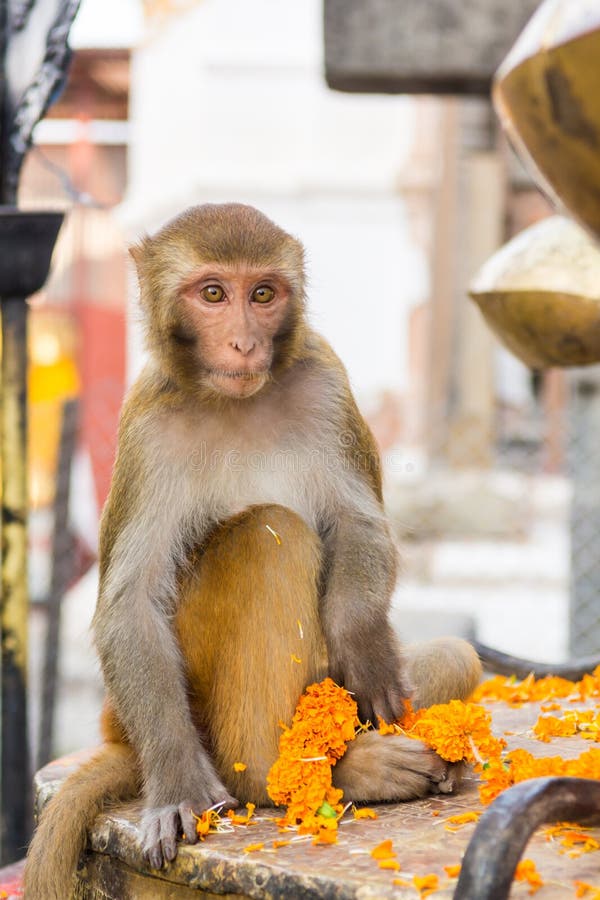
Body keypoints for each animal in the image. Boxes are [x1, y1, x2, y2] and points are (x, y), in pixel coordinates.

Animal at [23, 204, 482, 899]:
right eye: (214, 294)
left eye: (262, 294)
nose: (243, 342)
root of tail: (117, 732)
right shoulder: (146, 427)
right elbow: (130, 604)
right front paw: (179, 786)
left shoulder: (326, 381)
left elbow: (358, 524)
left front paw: (362, 641)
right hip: (184, 702)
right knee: (266, 535)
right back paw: (294, 772)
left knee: (454, 655)